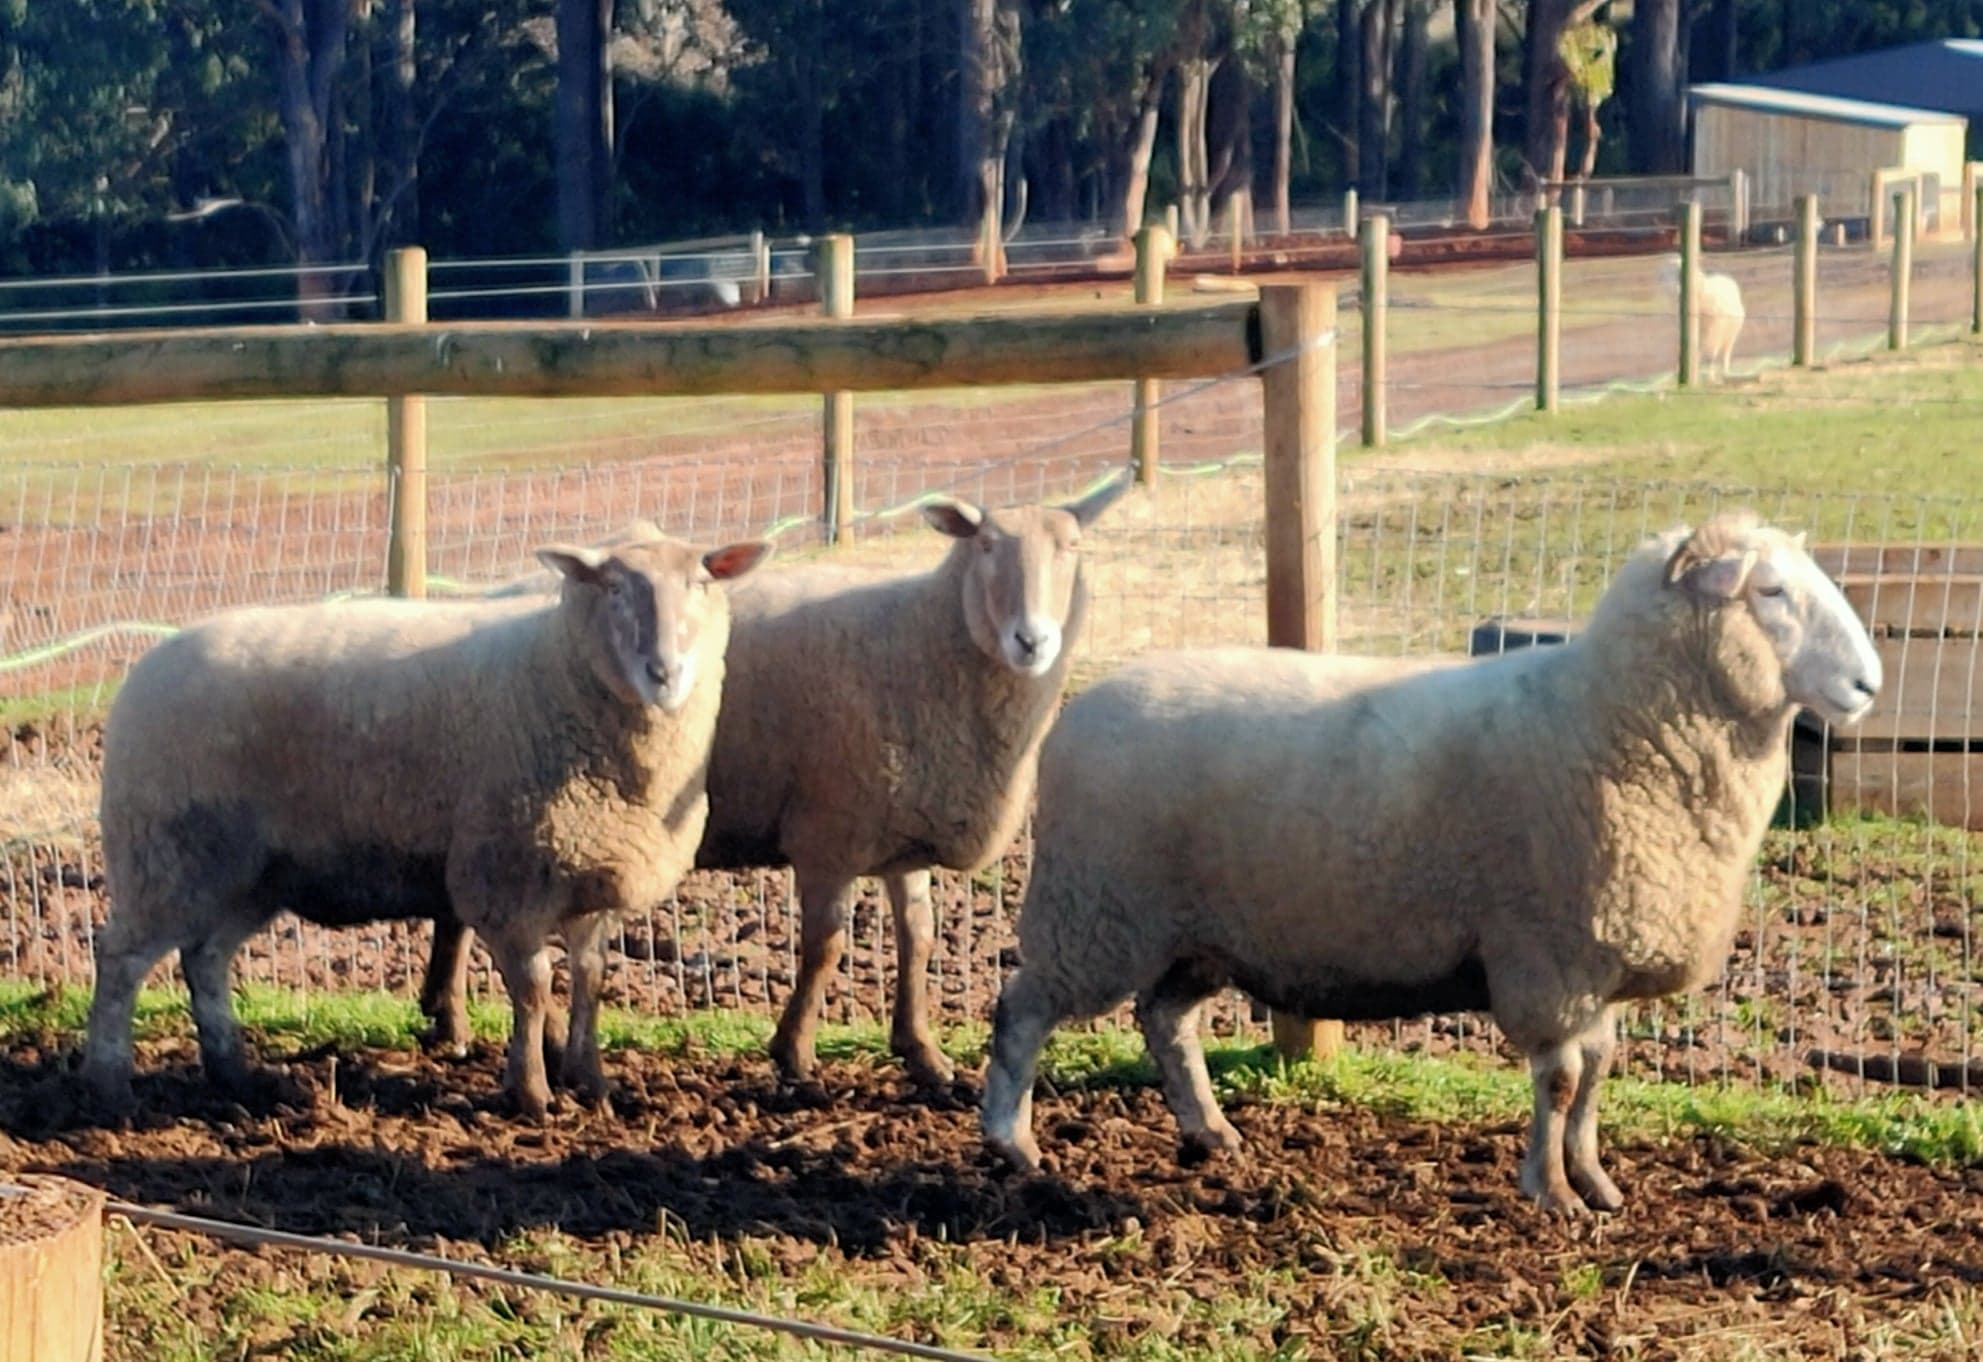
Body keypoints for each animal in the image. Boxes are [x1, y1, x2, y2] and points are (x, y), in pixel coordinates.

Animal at [79, 533, 771, 1120]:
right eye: (614, 588)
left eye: (702, 583)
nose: (665, 673)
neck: (558, 667)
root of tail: (146, 665)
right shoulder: (504, 874)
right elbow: (534, 986)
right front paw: (532, 1093)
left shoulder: (596, 875)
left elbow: (591, 980)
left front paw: (592, 1082)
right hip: (166, 849)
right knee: (120, 958)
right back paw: (110, 1086)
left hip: (249, 871)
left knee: (205, 957)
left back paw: (234, 1075)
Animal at [424, 478, 1128, 1088]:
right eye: (985, 546)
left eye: (1072, 547)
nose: (1032, 640)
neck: (923, 639)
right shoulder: (828, 832)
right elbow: (825, 945)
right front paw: (795, 1052)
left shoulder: (902, 831)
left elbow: (919, 938)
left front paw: (922, 1052)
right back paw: (464, 1023)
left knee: (454, 908)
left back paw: (446, 1017)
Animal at [980, 512, 1882, 1213]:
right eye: (1769, 593)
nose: (1867, 685)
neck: (1616, 718)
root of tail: (1076, 711)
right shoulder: (1544, 957)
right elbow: (1560, 1081)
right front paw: (1550, 1193)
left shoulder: (1591, 961)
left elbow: (1596, 1076)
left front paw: (1594, 1180)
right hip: (1095, 913)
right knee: (1021, 1011)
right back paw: (1010, 1144)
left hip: (1195, 932)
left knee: (1165, 1021)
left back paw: (1210, 1132)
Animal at [1655, 252, 1746, 382]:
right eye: (1663, 276)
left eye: (1680, 272)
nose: (1673, 290)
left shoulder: (1715, 331)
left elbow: (1711, 356)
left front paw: (1710, 377)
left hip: (1730, 334)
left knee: (1725, 353)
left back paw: (1725, 372)